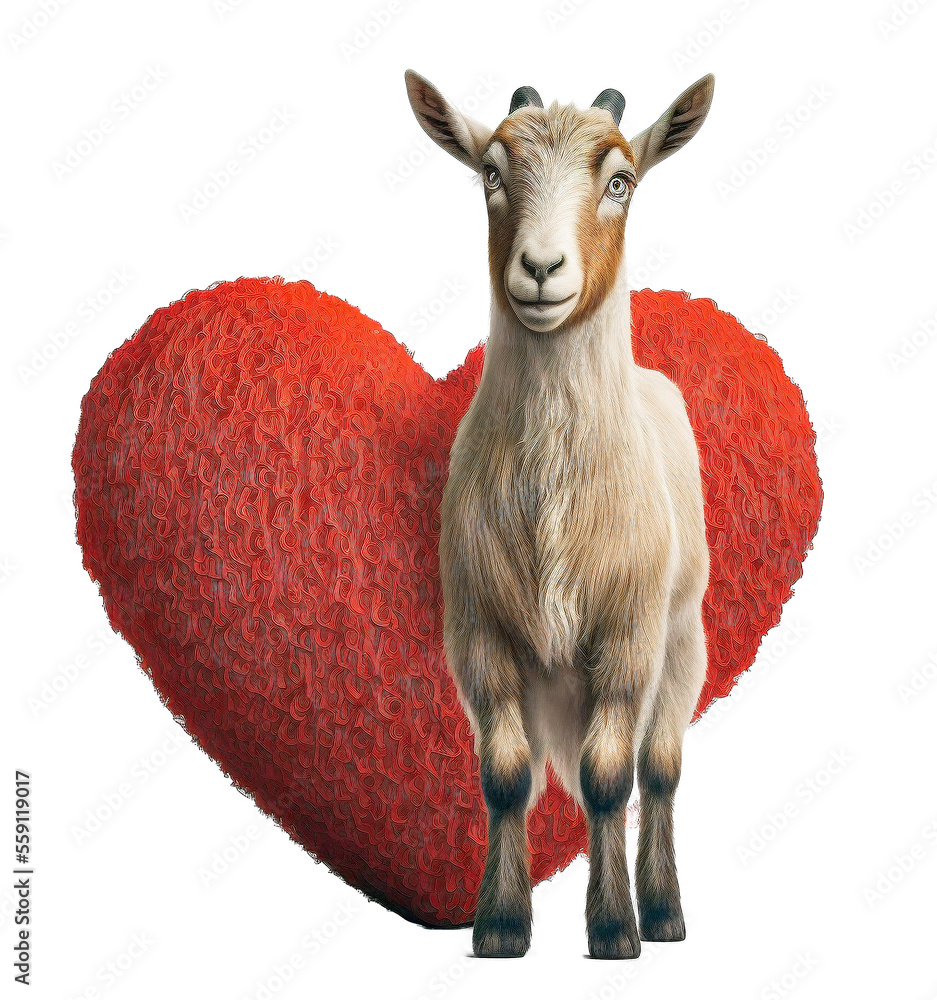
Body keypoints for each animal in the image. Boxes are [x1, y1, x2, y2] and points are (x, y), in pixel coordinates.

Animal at [405, 69, 714, 960]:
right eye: (489, 172)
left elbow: (613, 777)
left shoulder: (627, 633)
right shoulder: (477, 634)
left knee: (659, 768)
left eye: (620, 181)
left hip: (682, 641)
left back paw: (664, 911)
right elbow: (504, 776)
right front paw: (501, 924)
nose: (541, 268)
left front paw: (613, 928)